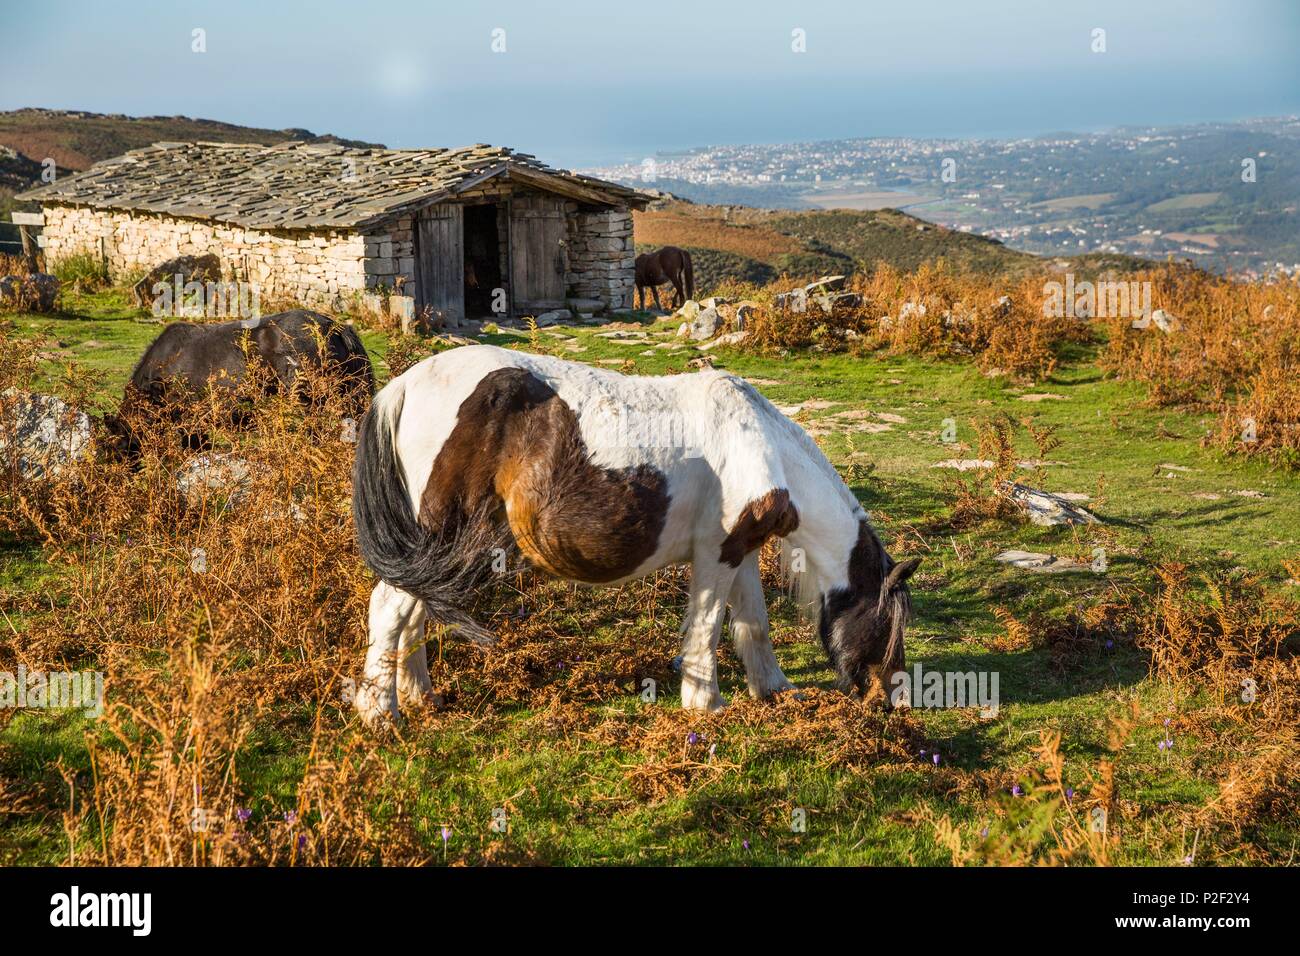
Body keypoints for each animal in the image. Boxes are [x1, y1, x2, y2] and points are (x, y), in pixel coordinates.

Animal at [350, 343, 920, 728]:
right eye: (889, 627)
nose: (891, 701)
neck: (762, 446)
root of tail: (403, 385)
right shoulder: (718, 552)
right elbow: (707, 627)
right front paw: (706, 705)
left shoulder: (741, 552)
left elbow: (753, 623)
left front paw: (775, 690)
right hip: (442, 537)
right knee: (390, 608)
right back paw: (380, 713)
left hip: (436, 553)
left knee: (415, 611)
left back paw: (419, 696)